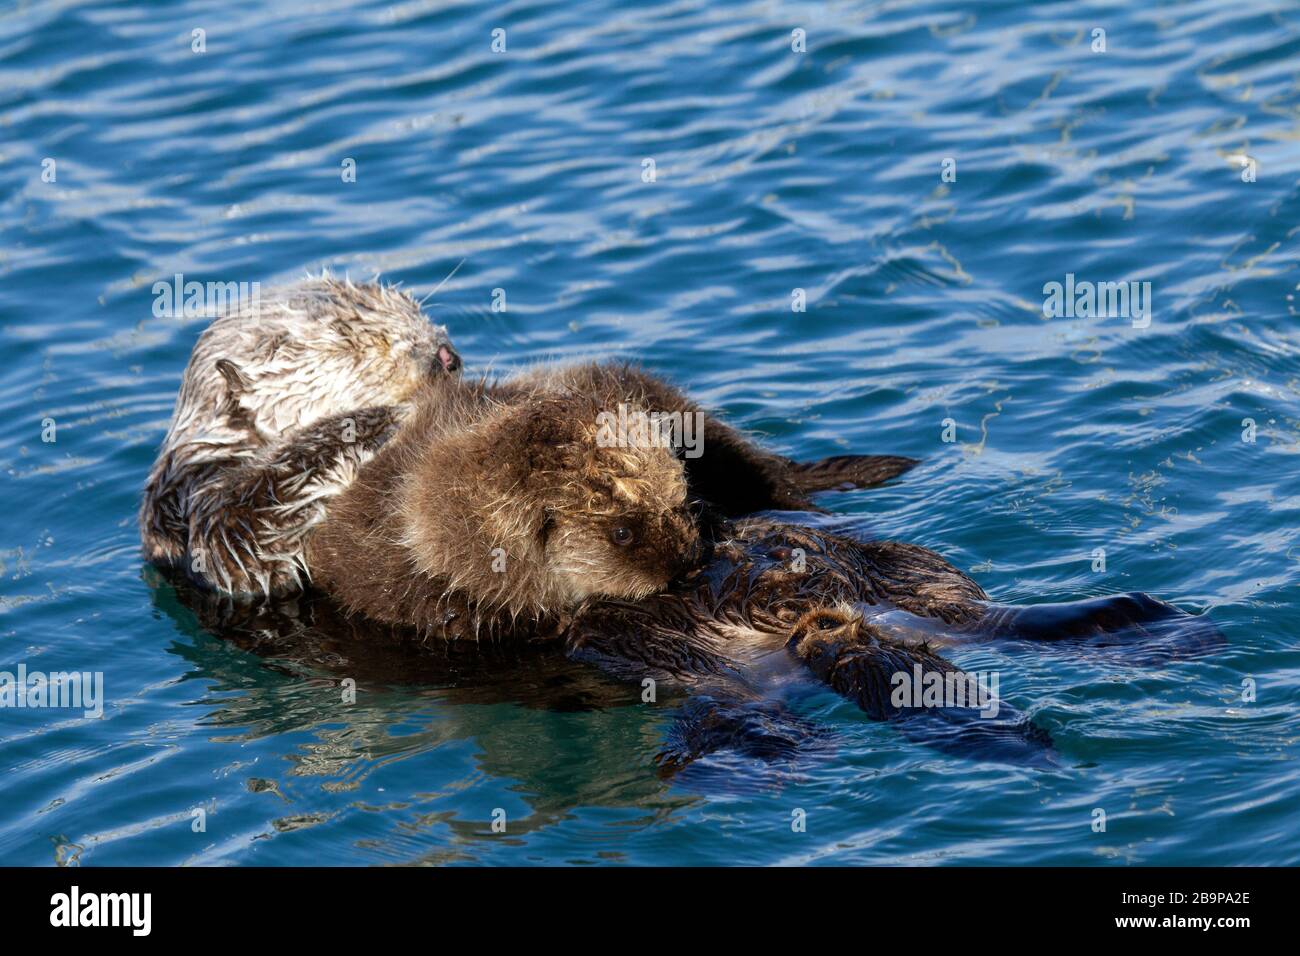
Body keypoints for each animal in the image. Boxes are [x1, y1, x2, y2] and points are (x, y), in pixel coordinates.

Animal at [140, 275, 461, 596]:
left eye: (417, 314)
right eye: (347, 345)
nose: (446, 356)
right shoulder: (195, 503)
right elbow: (236, 541)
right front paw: (388, 415)